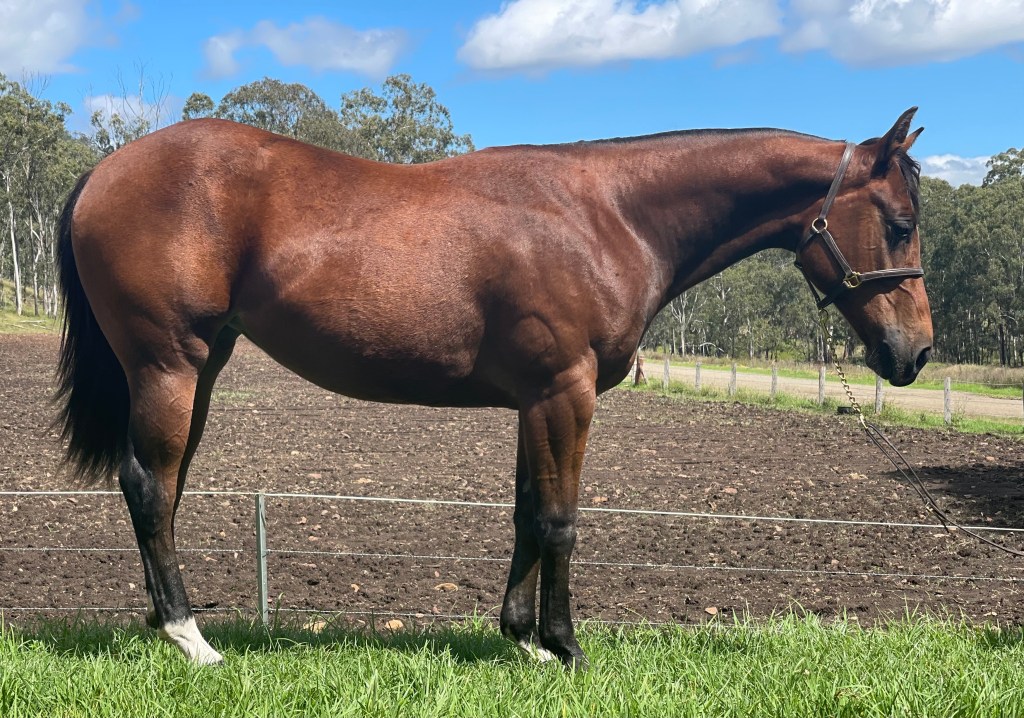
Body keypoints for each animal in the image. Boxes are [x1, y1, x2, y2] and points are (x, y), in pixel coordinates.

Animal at [54, 108, 932, 668]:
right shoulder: (565, 394)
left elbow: (524, 515)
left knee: (163, 489)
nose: (915, 353)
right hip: (170, 365)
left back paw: (165, 622)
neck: (607, 214)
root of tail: (105, 168)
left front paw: (522, 639)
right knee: (150, 485)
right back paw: (189, 638)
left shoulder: (534, 402)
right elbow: (560, 522)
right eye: (899, 223)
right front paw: (567, 646)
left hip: (200, 369)